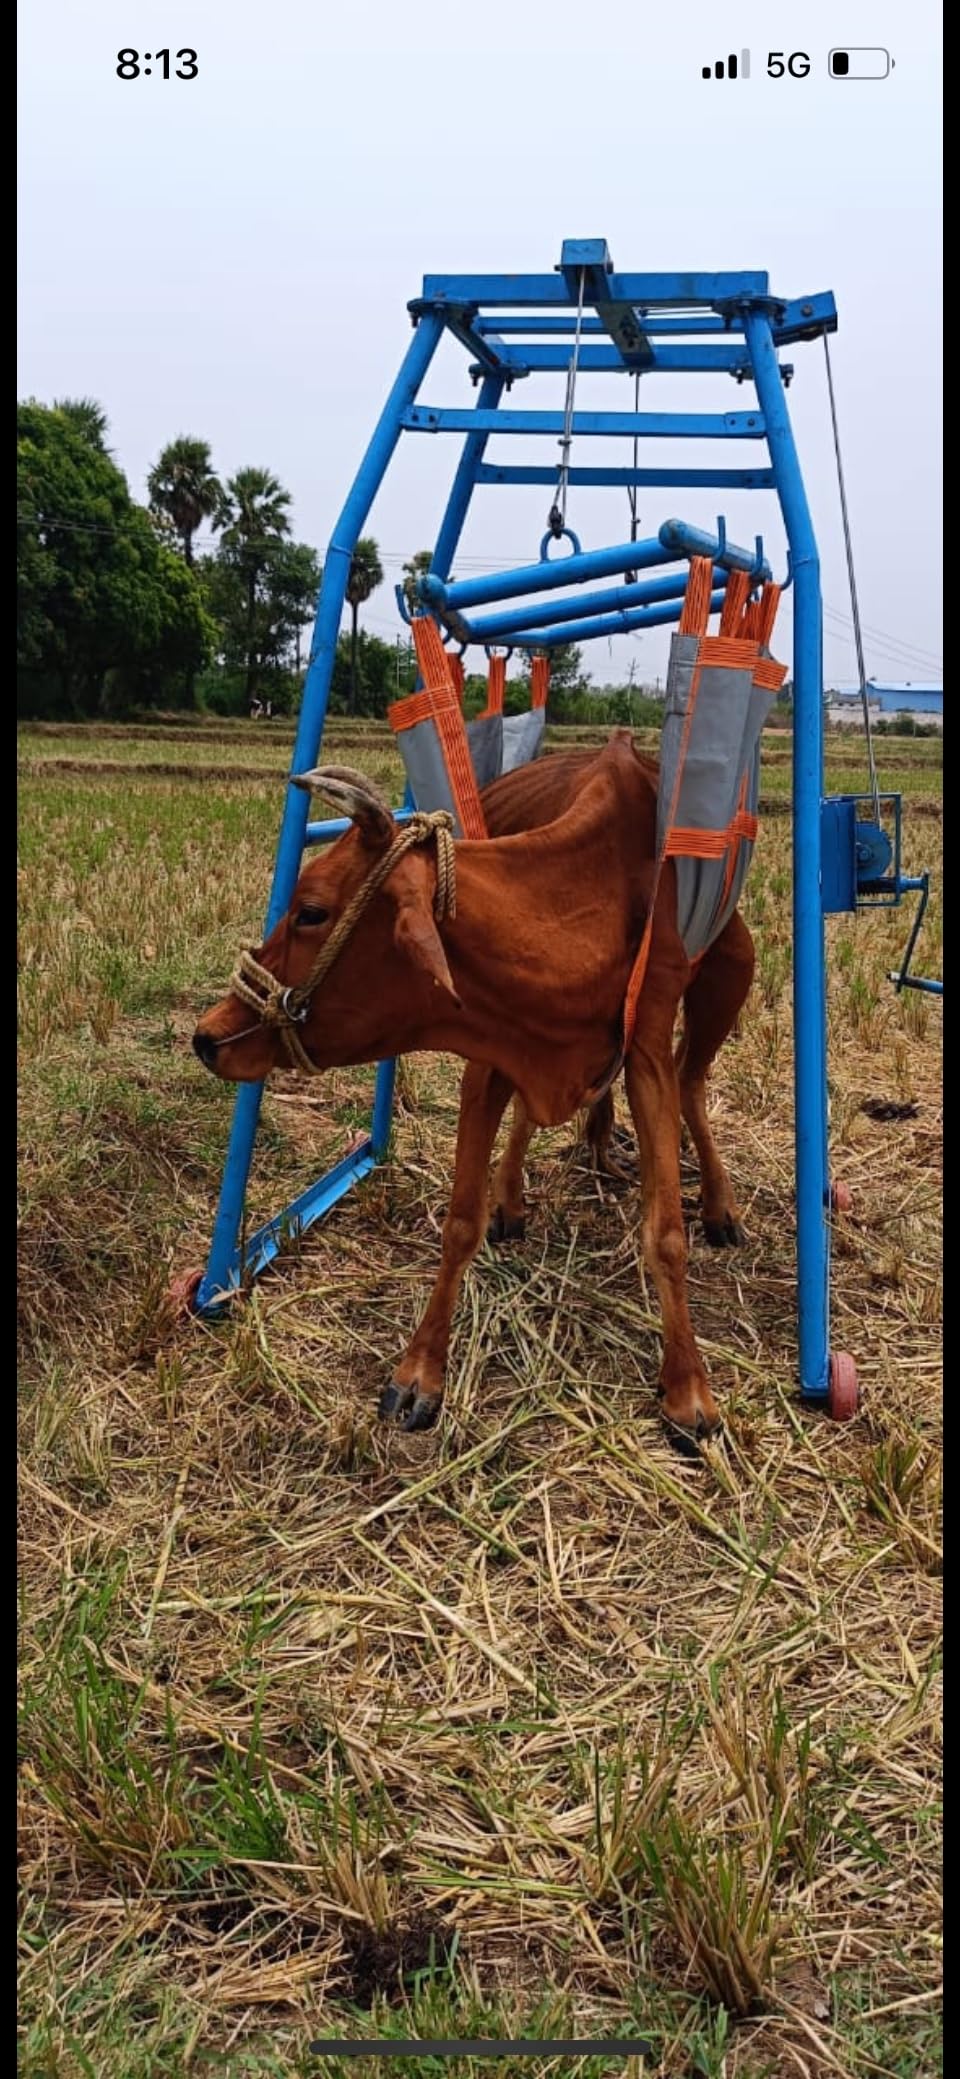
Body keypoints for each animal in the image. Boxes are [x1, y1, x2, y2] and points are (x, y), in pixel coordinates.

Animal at [193, 731, 755, 1448]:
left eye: (312, 910)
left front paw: (688, 1387)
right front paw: (419, 1373)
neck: (585, 896)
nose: (208, 1035)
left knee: (693, 1083)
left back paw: (717, 1203)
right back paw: (517, 1195)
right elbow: (461, 1220)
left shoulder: (647, 1050)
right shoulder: (490, 1056)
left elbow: (666, 1232)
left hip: (733, 966)